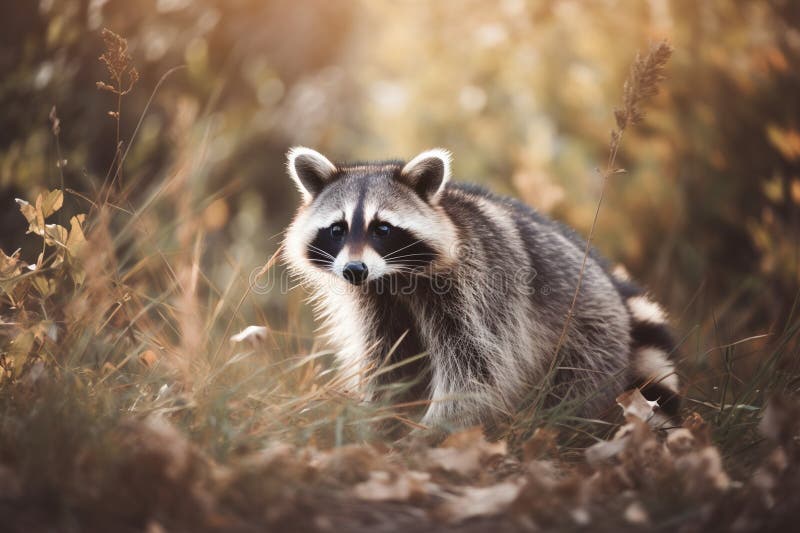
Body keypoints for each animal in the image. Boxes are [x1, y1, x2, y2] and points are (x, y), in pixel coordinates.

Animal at [283, 147, 680, 430]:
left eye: (383, 229)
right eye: (338, 229)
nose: (354, 270)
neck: (394, 277)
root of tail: (610, 283)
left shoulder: (478, 286)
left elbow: (475, 367)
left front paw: (436, 429)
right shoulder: (375, 303)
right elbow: (389, 359)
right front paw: (384, 416)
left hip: (589, 329)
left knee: (575, 388)